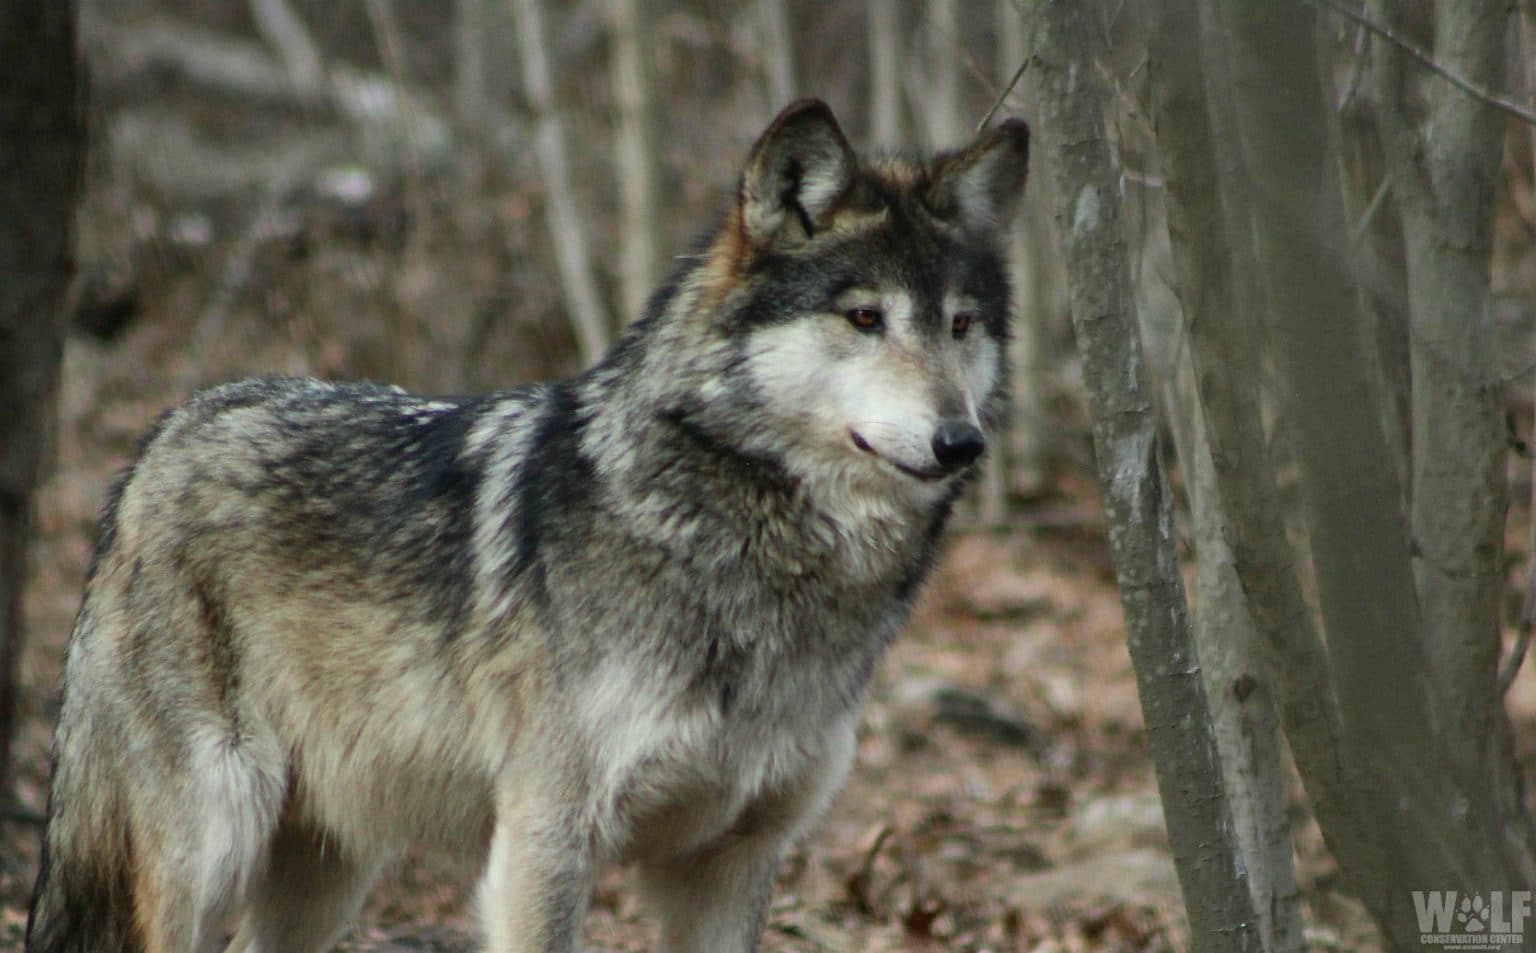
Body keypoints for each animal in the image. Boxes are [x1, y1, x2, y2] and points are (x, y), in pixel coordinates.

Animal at [27, 99, 1028, 953]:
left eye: (959, 324)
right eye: (864, 318)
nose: (961, 441)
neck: (742, 540)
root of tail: (161, 437)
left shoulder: (730, 858)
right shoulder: (545, 836)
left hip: (329, 866)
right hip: (215, 841)